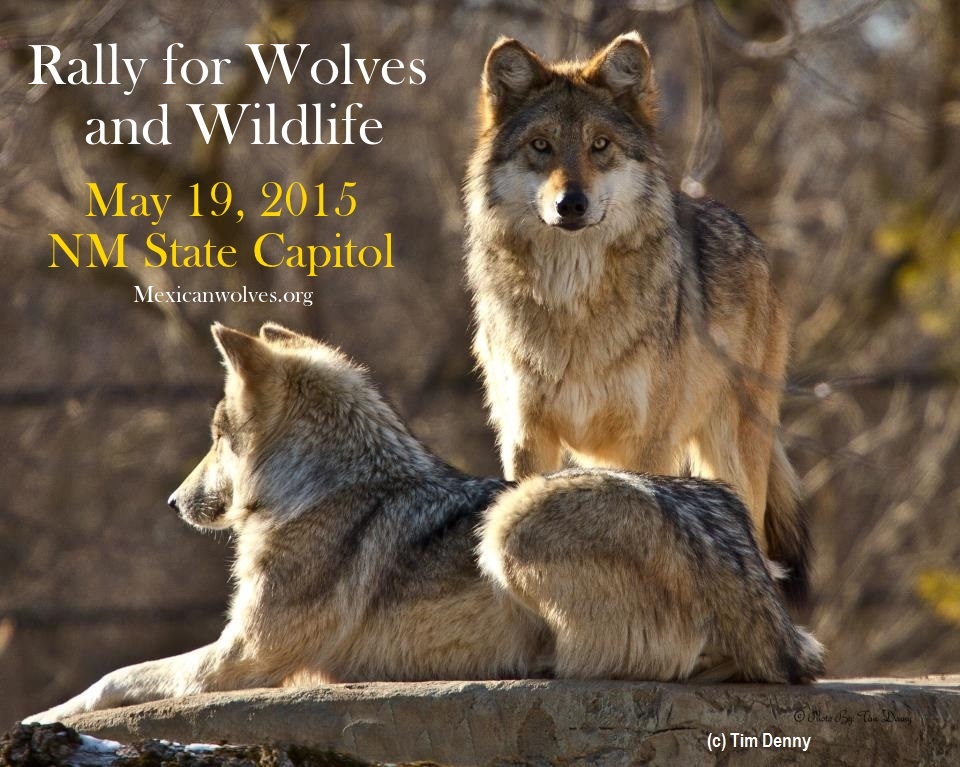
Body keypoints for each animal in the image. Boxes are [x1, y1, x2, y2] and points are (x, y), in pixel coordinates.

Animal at [26, 323, 822, 723]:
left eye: (217, 435)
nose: (171, 501)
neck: (323, 489)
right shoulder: (235, 653)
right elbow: (121, 674)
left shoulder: (238, 658)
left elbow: (116, 676)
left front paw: (44, 717)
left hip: (511, 519)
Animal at [464, 32, 809, 602]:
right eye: (541, 146)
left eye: (600, 145)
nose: (571, 203)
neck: (574, 303)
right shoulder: (526, 435)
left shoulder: (648, 445)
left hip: (731, 455)